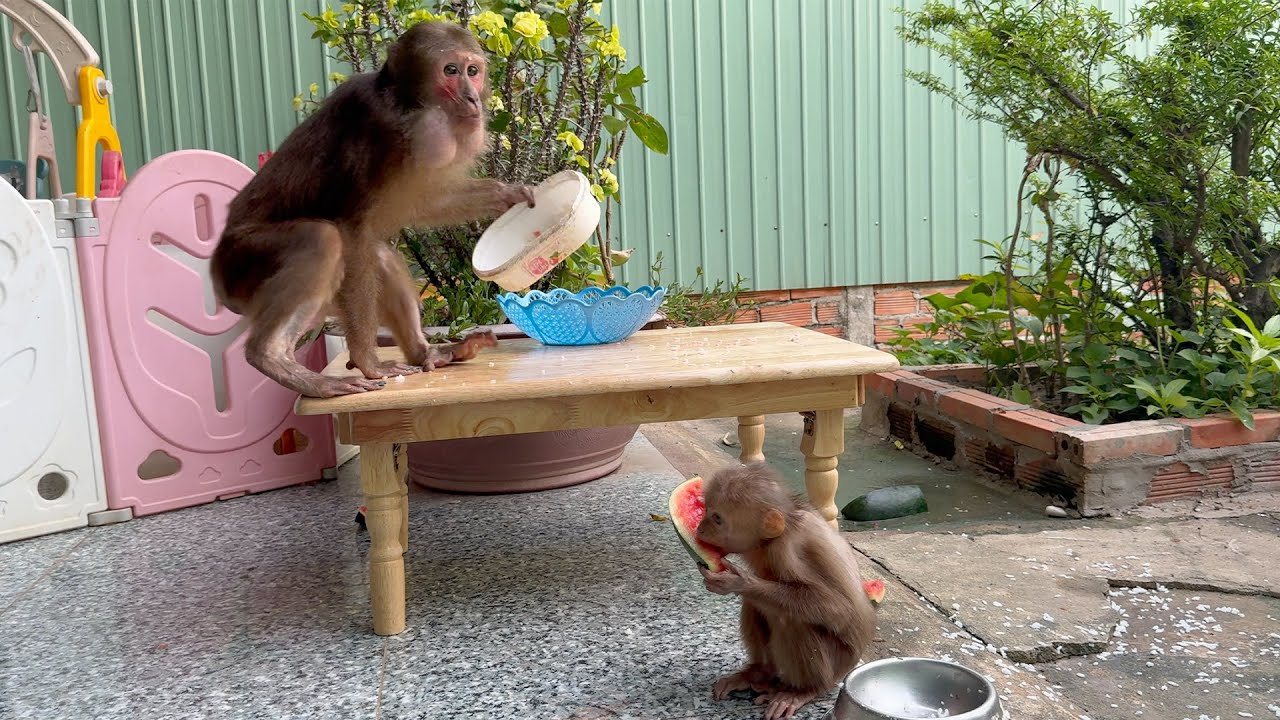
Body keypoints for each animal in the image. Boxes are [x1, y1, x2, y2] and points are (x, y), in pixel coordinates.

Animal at [210, 21, 533, 398]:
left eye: (473, 71)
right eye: (451, 71)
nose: (472, 98)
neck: (407, 106)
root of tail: (220, 281)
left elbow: (421, 204)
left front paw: (507, 195)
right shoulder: (382, 129)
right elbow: (353, 229)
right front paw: (368, 362)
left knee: (375, 256)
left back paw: (426, 352)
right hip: (243, 264)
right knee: (324, 239)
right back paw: (276, 360)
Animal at [695, 463, 877, 720]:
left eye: (717, 518)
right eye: (706, 510)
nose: (700, 529)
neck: (773, 538)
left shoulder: (789, 550)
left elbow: (839, 609)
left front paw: (739, 583)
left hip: (837, 664)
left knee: (792, 620)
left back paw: (804, 690)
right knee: (758, 605)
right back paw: (760, 674)